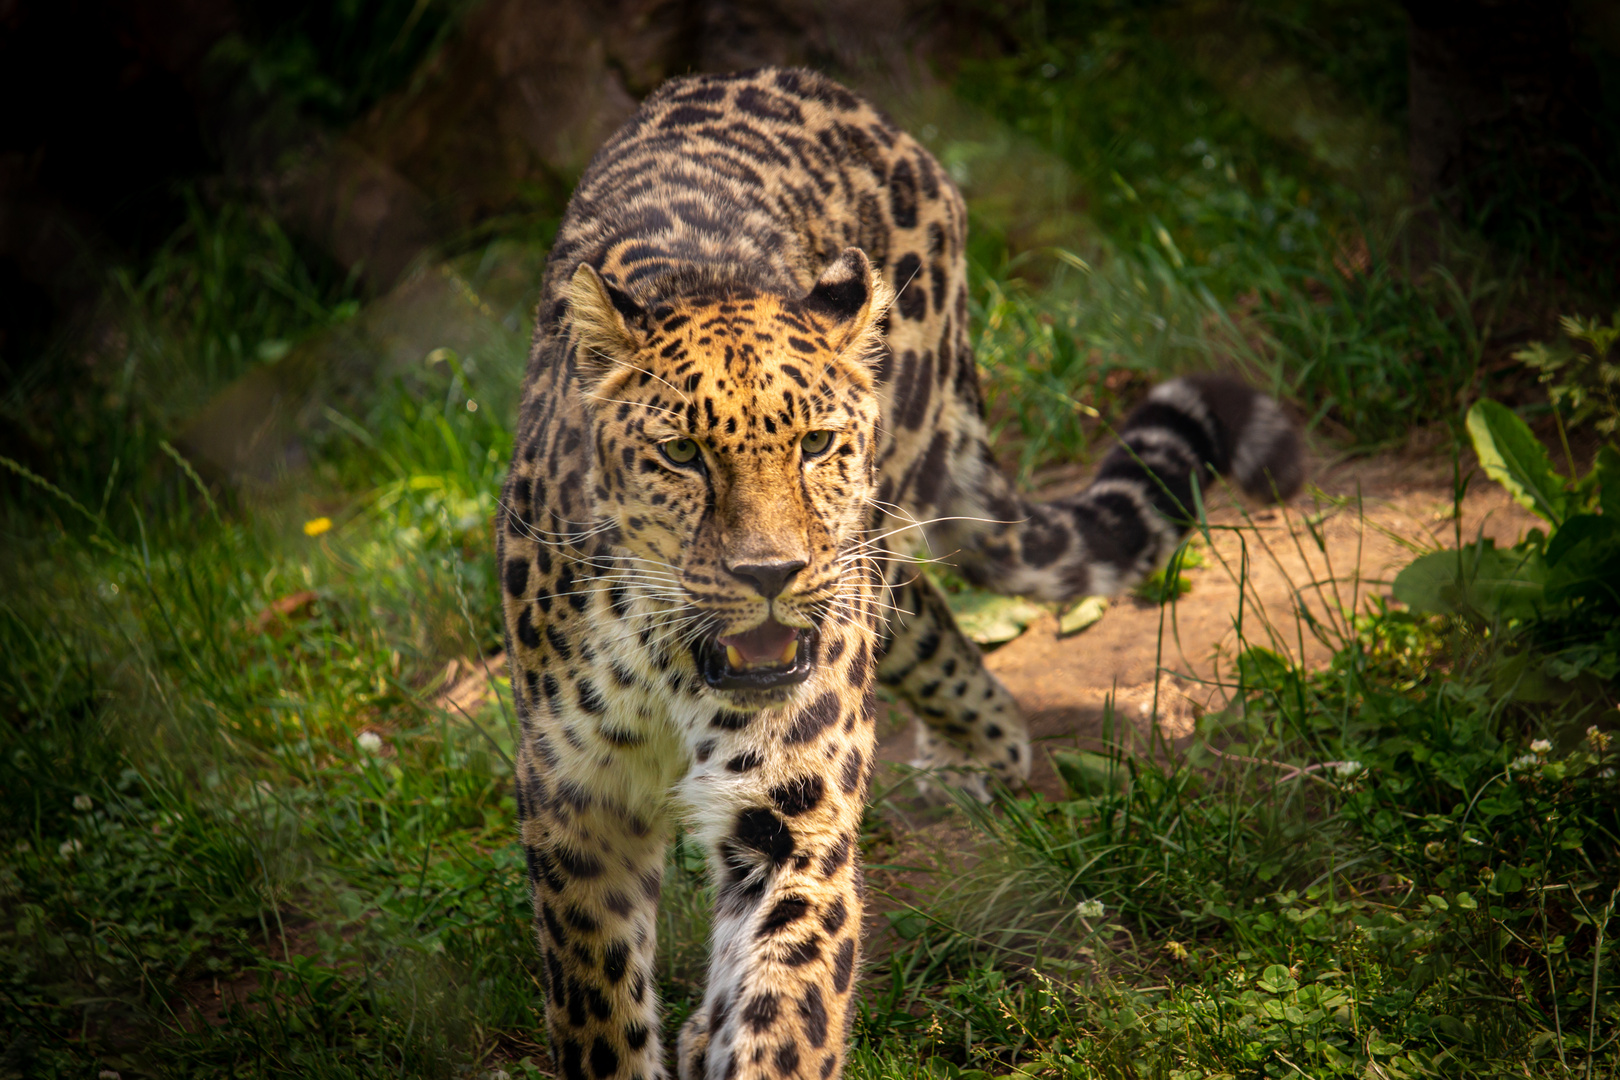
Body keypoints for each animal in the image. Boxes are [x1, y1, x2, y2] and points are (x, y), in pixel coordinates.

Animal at [497, 67, 1303, 1080]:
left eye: (815, 443)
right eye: (681, 453)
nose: (770, 572)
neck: (667, 655)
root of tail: (834, 94)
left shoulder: (791, 813)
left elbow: (785, 1002)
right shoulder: (575, 810)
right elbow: (597, 1013)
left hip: (875, 531)